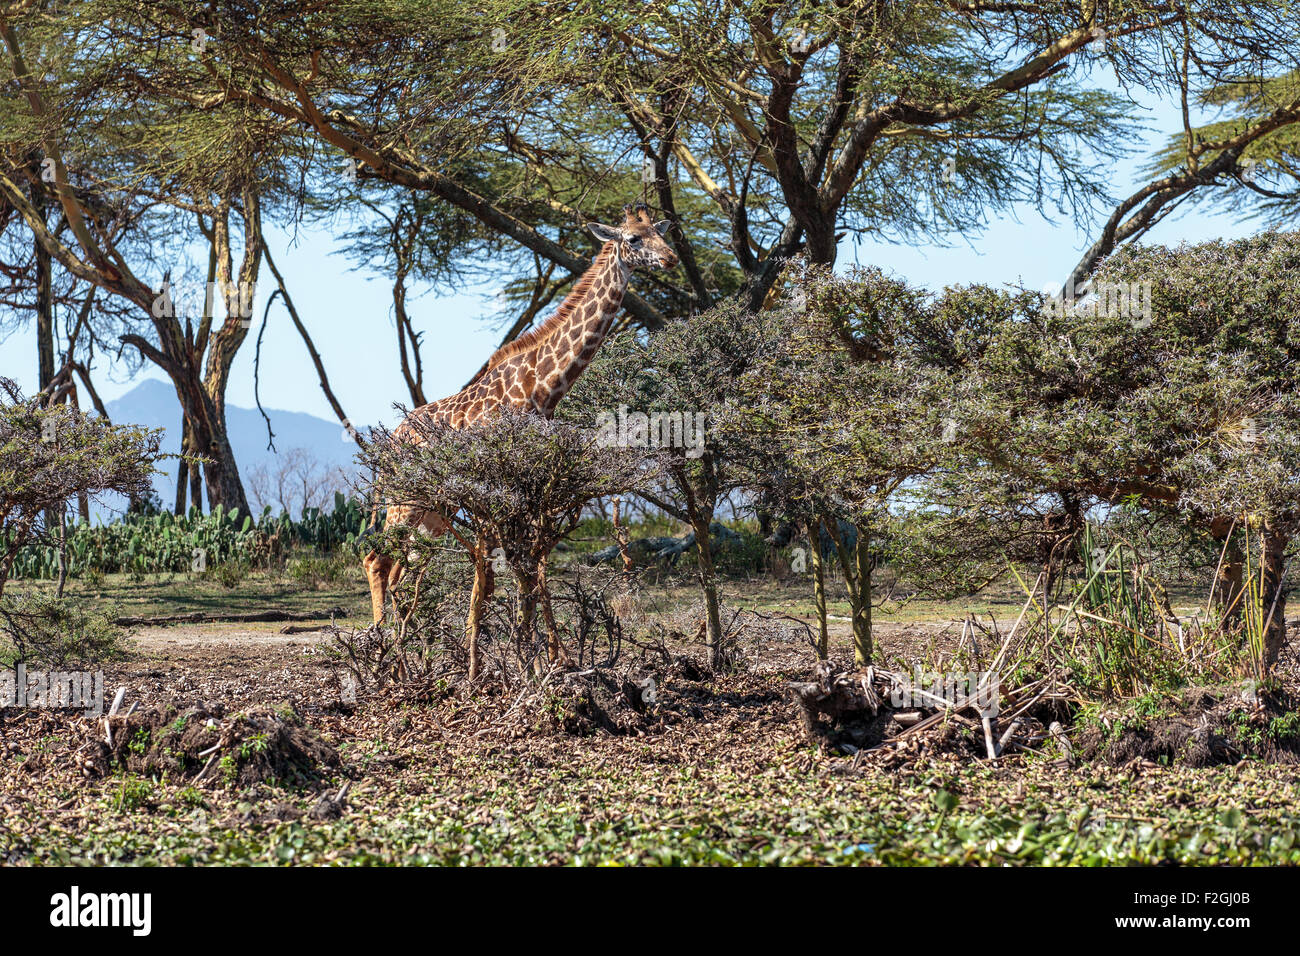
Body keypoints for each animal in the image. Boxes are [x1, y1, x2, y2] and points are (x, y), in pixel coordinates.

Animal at [362, 202, 678, 626]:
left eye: (661, 233)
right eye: (633, 238)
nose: (671, 258)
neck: (543, 388)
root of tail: (392, 440)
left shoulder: (531, 485)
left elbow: (527, 569)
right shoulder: (500, 485)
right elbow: (499, 572)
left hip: (436, 507)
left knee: (403, 564)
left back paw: (407, 632)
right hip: (406, 496)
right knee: (377, 559)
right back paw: (383, 638)